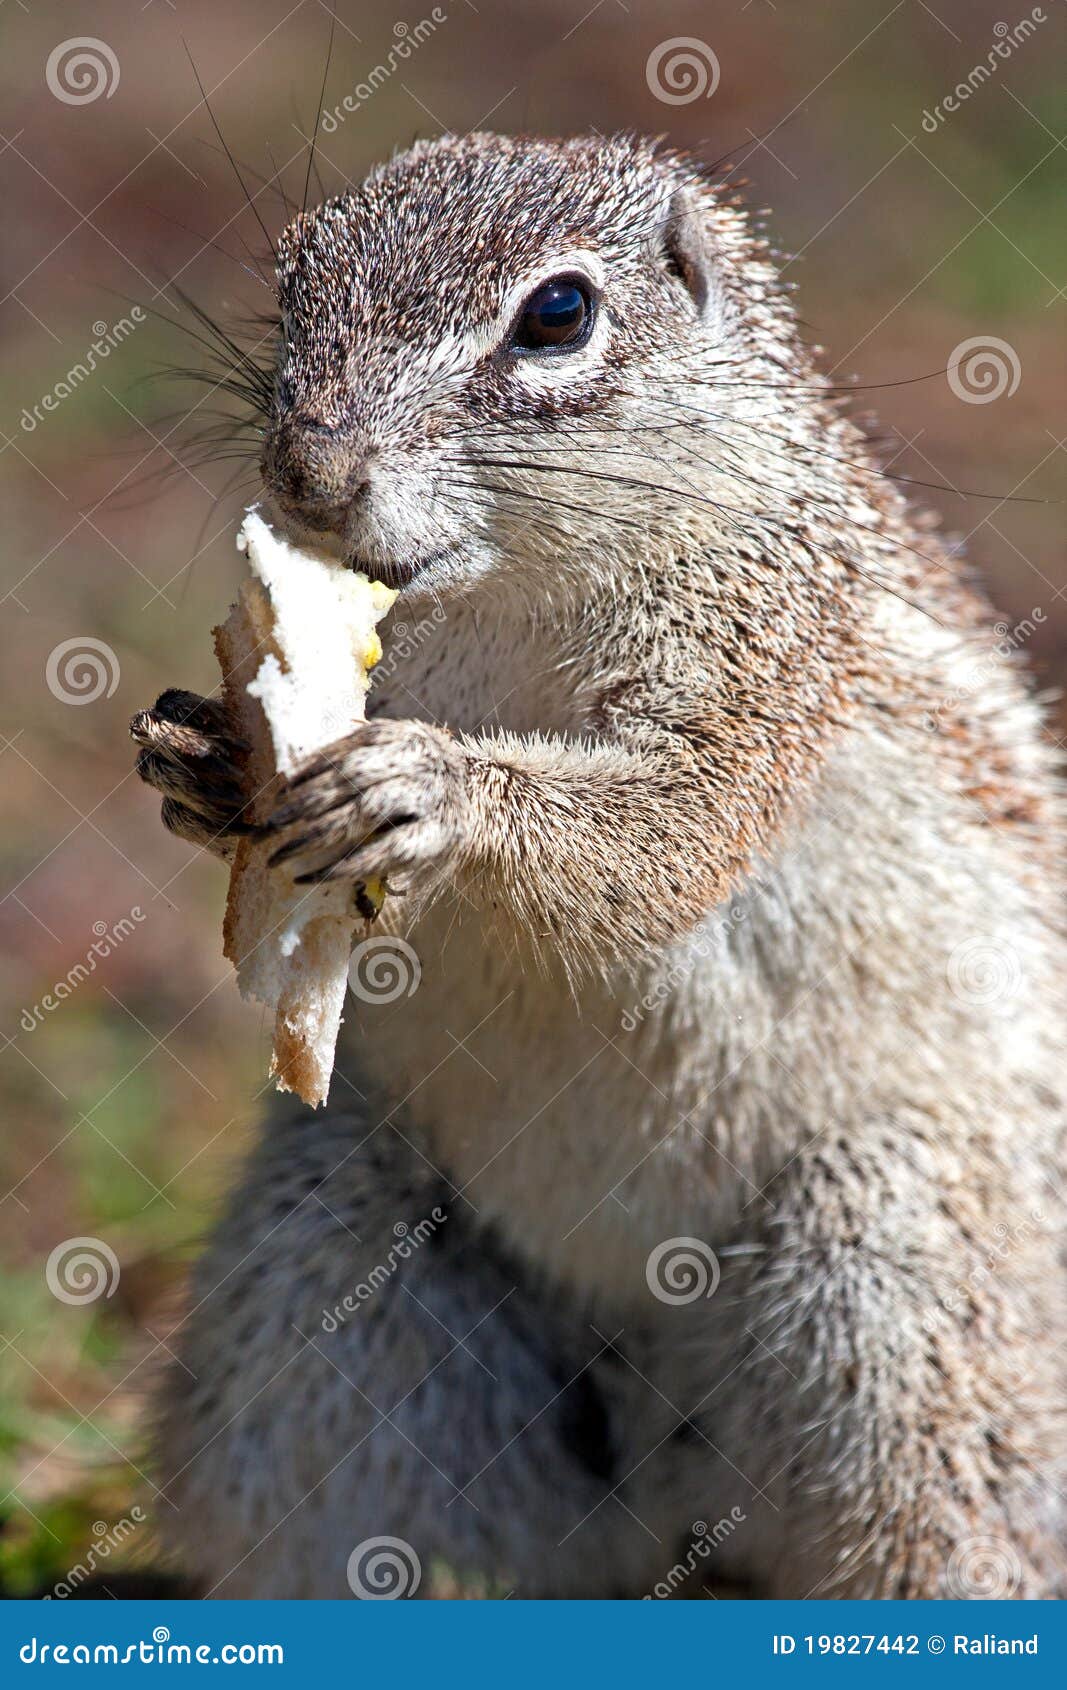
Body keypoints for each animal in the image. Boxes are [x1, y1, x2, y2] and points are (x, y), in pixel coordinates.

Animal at [132, 132, 1065, 1599]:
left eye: (557, 315)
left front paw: (435, 789)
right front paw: (207, 757)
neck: (501, 602)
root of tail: (677, 1464)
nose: (306, 473)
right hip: (313, 1290)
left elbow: (666, 831)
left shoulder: (760, 662)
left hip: (902, 1289)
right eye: (291, 273)